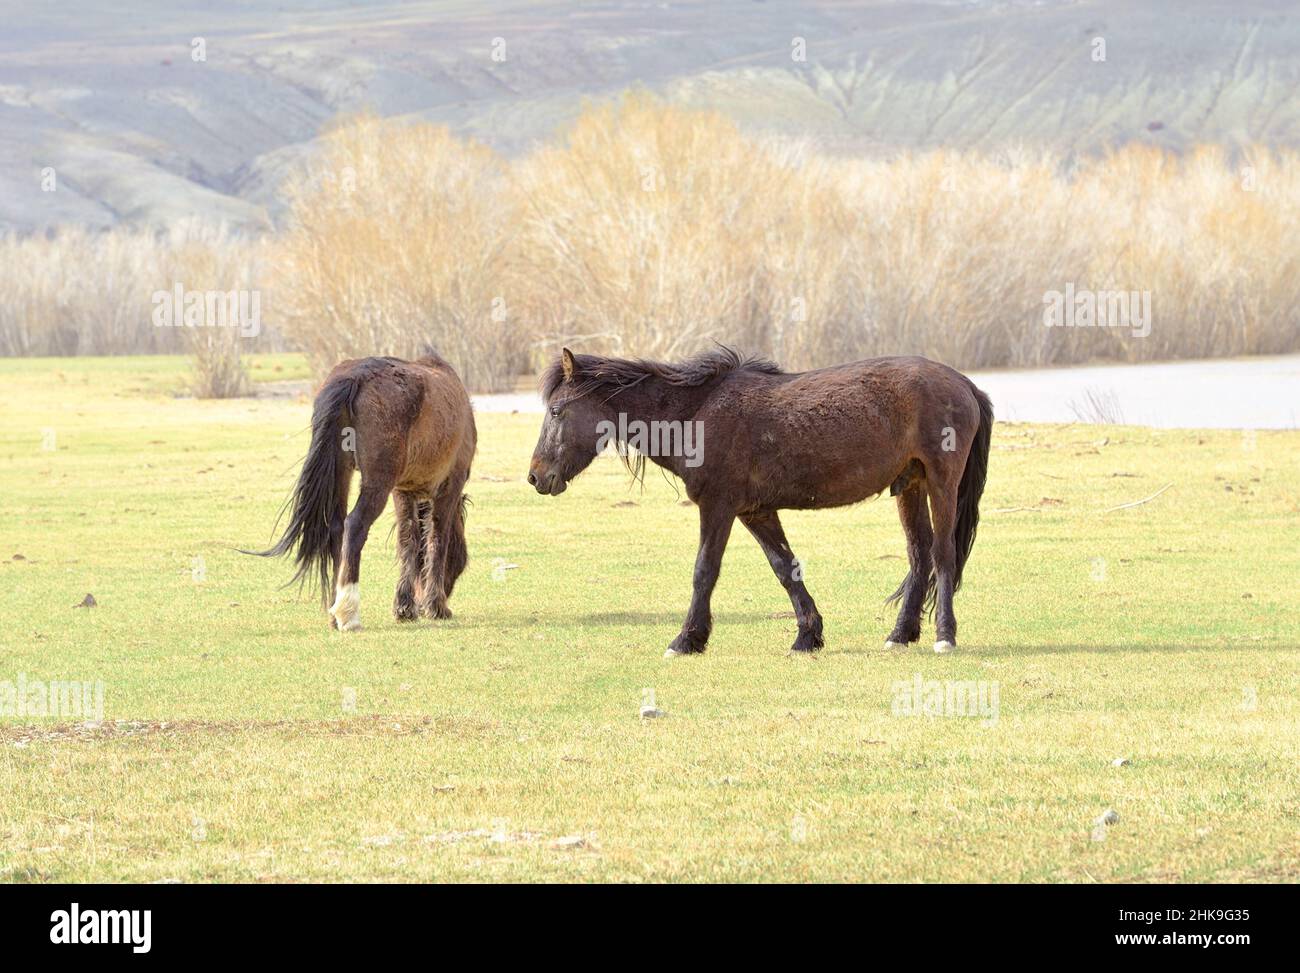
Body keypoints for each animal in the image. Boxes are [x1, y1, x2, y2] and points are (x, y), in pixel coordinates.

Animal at [247, 353, 476, 631]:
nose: (422, 603)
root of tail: (355, 377)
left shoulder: (403, 490)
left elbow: (408, 539)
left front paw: (405, 607)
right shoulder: (450, 485)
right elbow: (436, 538)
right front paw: (437, 607)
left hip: (343, 473)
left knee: (337, 528)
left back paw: (335, 611)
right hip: (377, 483)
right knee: (354, 525)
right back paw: (349, 612)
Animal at [528, 347, 992, 657]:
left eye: (556, 411)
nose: (535, 476)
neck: (695, 413)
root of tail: (965, 383)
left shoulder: (717, 507)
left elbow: (704, 572)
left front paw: (687, 639)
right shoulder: (756, 511)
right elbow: (785, 569)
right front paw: (808, 636)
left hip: (941, 482)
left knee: (943, 554)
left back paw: (944, 635)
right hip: (910, 485)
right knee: (919, 555)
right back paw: (900, 634)